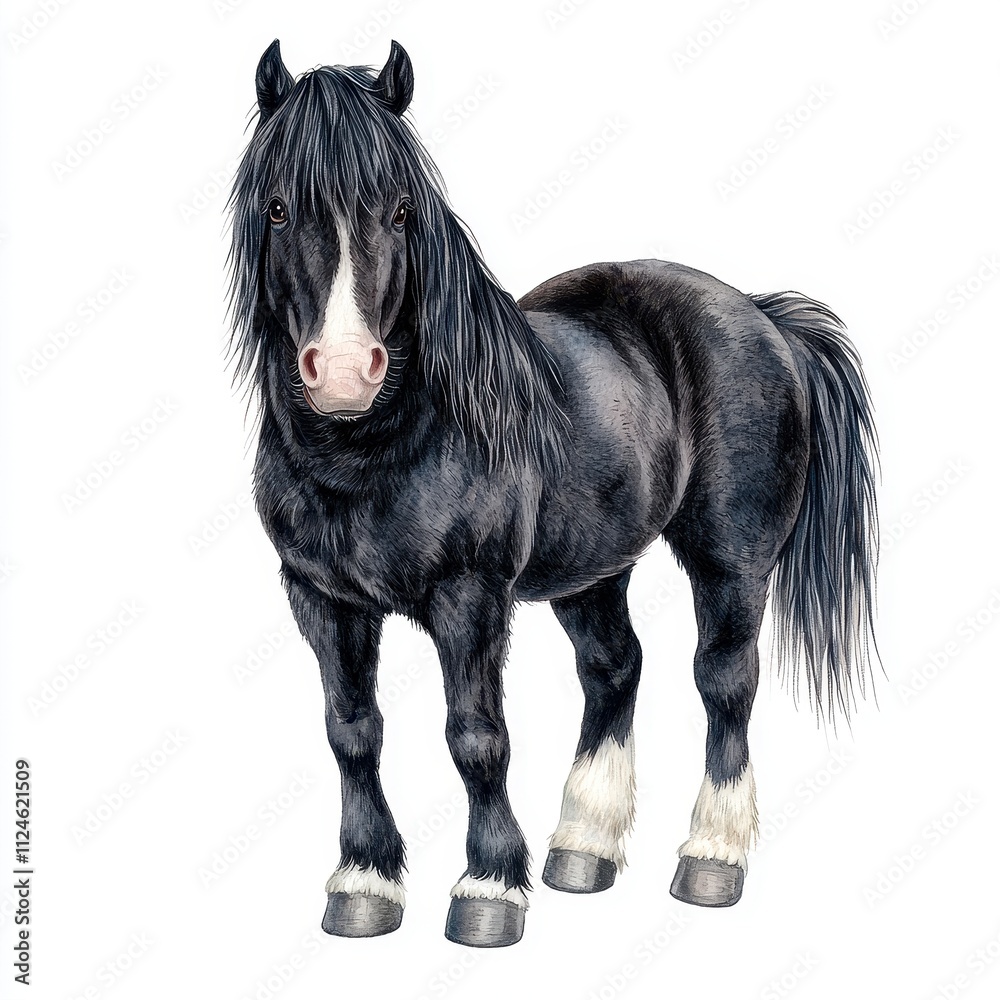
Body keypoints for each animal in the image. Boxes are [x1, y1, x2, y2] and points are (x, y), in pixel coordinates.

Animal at [226, 39, 879, 948]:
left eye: (401, 211)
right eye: (279, 210)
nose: (349, 372)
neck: (372, 449)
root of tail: (759, 313)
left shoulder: (469, 595)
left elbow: (476, 737)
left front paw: (490, 889)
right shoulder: (320, 597)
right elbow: (351, 731)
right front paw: (364, 882)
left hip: (733, 562)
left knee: (725, 680)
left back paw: (711, 858)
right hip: (591, 571)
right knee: (614, 669)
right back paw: (582, 848)